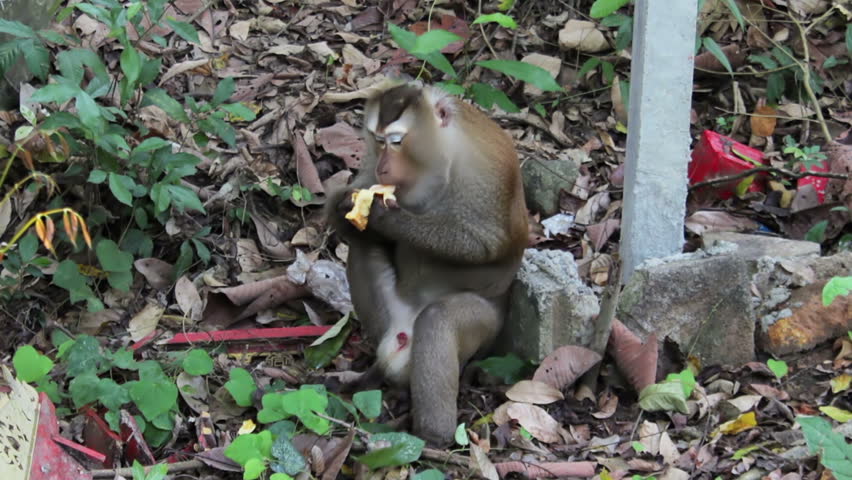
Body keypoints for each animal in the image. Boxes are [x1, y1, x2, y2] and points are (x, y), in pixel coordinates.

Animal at [325, 81, 528, 446]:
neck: (440, 162)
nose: (383, 169)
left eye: (397, 141)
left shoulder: (486, 171)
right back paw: (373, 373)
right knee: (363, 250)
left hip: (486, 328)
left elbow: (486, 244)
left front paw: (384, 217)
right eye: (378, 141)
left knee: (438, 318)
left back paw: (433, 437)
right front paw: (343, 206)